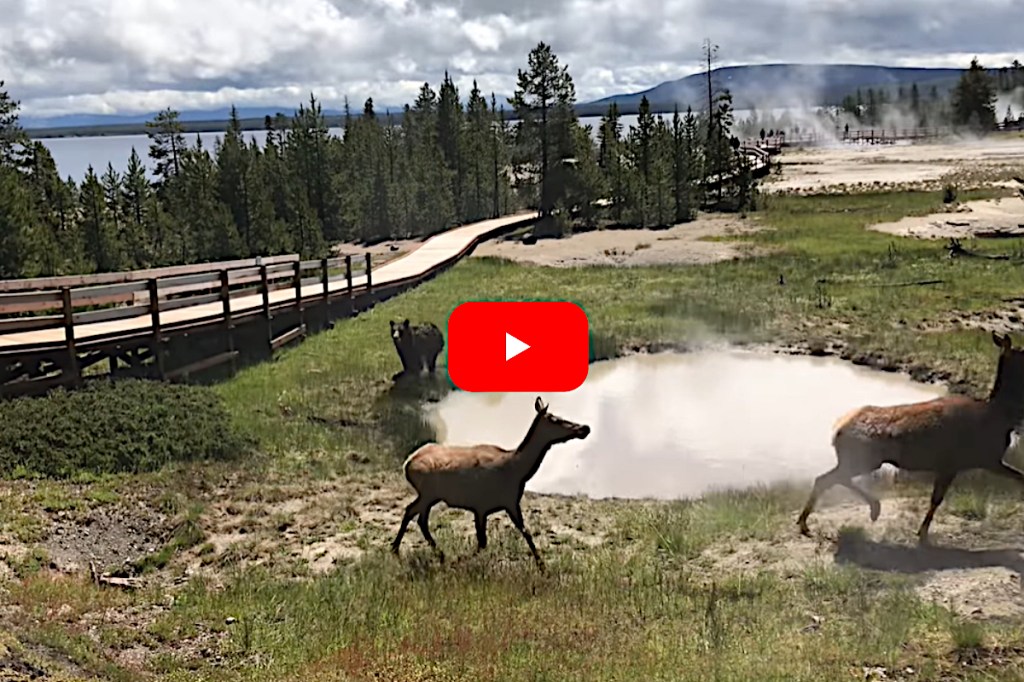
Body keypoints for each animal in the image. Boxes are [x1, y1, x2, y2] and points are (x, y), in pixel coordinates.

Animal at [390, 396, 591, 569]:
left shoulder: (505, 504)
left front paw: (542, 566)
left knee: (416, 515)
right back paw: (417, 551)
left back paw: (415, 550)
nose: (585, 428)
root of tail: (407, 464)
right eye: (555, 419)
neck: (518, 471)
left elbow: (523, 532)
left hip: (430, 495)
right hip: (428, 493)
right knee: (415, 514)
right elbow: (486, 541)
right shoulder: (485, 505)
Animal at [797, 331, 1024, 545]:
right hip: (865, 458)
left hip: (862, 459)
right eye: (1023, 353)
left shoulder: (967, 463)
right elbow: (937, 499)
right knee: (827, 478)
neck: (1001, 416)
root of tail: (836, 429)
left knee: (829, 478)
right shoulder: (973, 461)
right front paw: (922, 533)